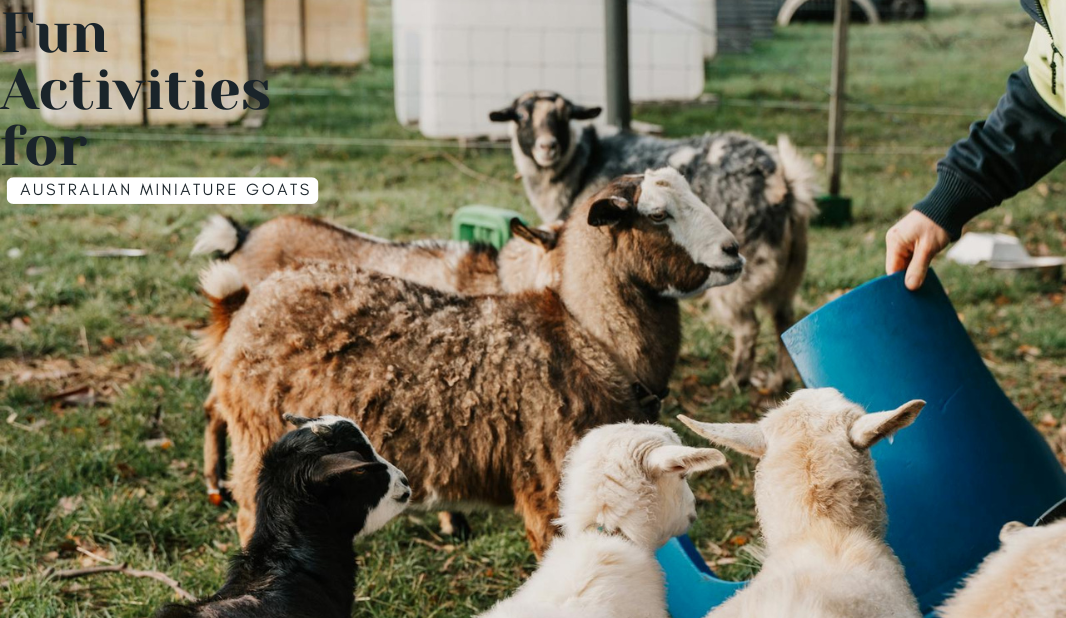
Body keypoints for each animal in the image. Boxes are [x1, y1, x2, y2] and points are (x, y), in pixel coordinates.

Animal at [199, 168, 744, 554]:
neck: (589, 339)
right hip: (257, 435)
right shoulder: (550, 486)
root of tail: (247, 302)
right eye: (657, 215)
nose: (733, 252)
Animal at [490, 90, 819, 391]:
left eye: (563, 115)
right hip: (789, 270)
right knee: (785, 320)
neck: (582, 163)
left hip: (745, 276)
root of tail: (783, 183)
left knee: (749, 327)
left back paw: (735, 380)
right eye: (521, 116)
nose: (548, 147)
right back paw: (779, 381)